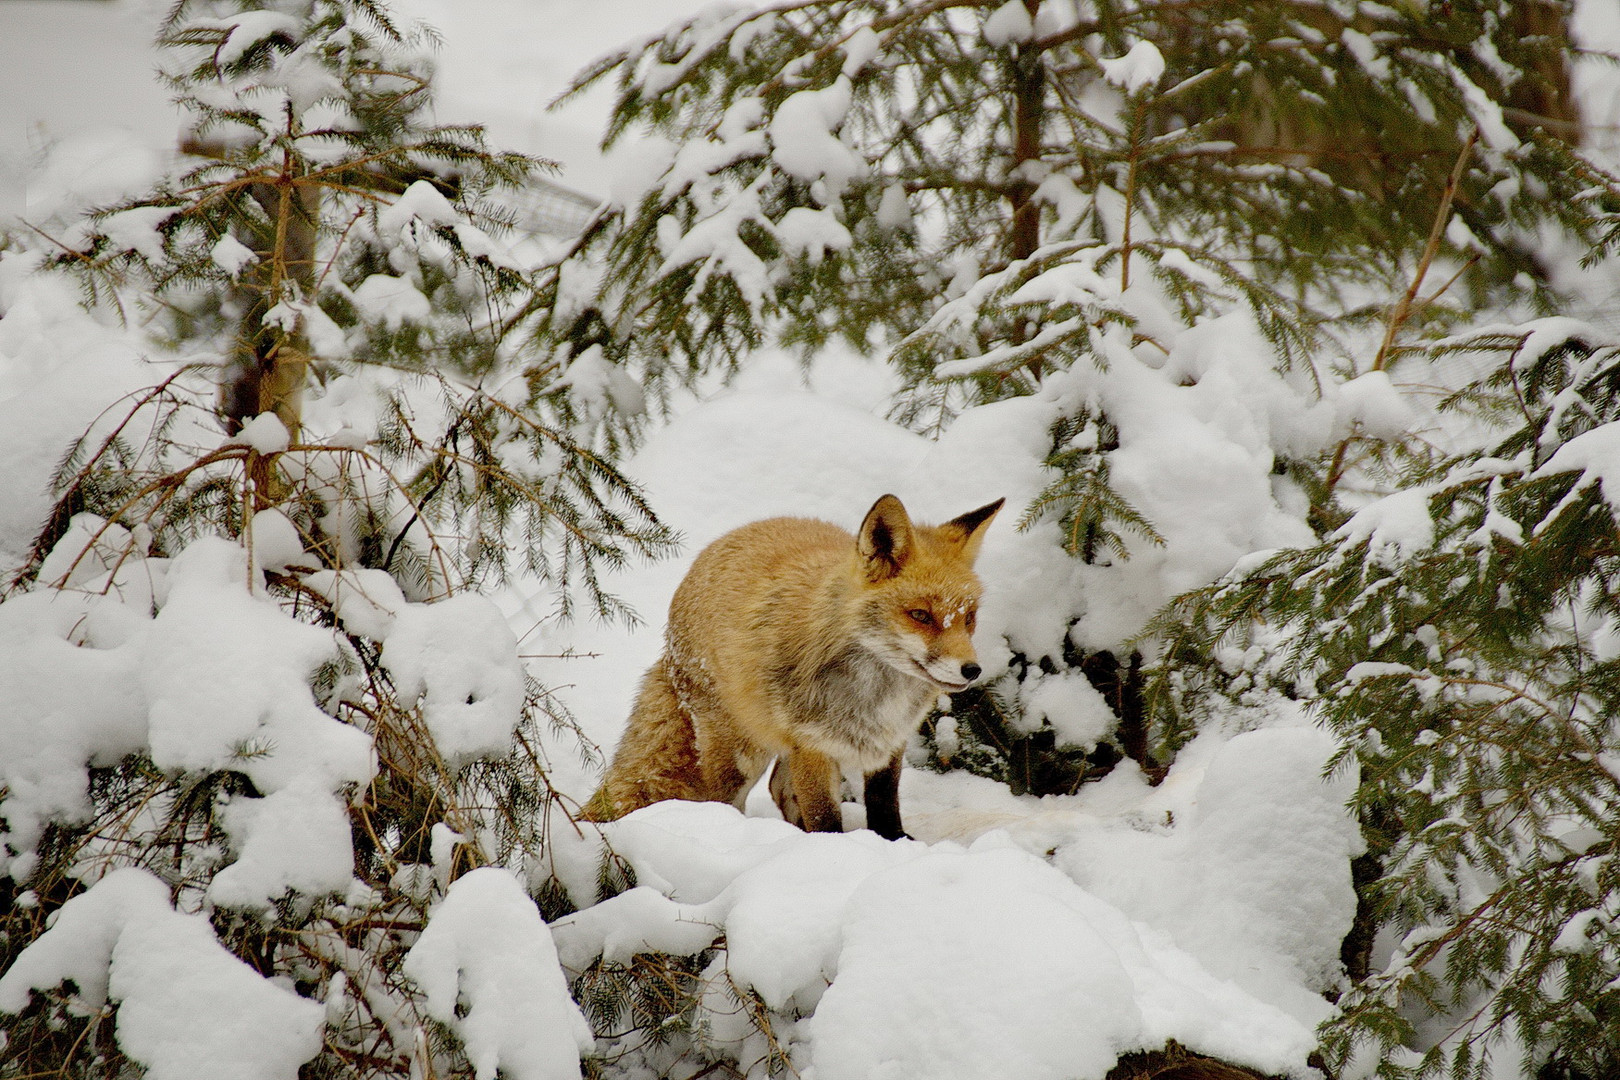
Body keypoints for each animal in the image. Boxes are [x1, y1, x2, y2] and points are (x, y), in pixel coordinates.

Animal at [589, 495, 997, 841]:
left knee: (777, 788)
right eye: (920, 615)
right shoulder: (810, 746)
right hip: (740, 754)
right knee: (722, 803)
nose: (972, 670)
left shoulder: (888, 743)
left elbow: (884, 807)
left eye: (970, 618)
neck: (875, 693)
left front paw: (892, 844)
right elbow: (824, 817)